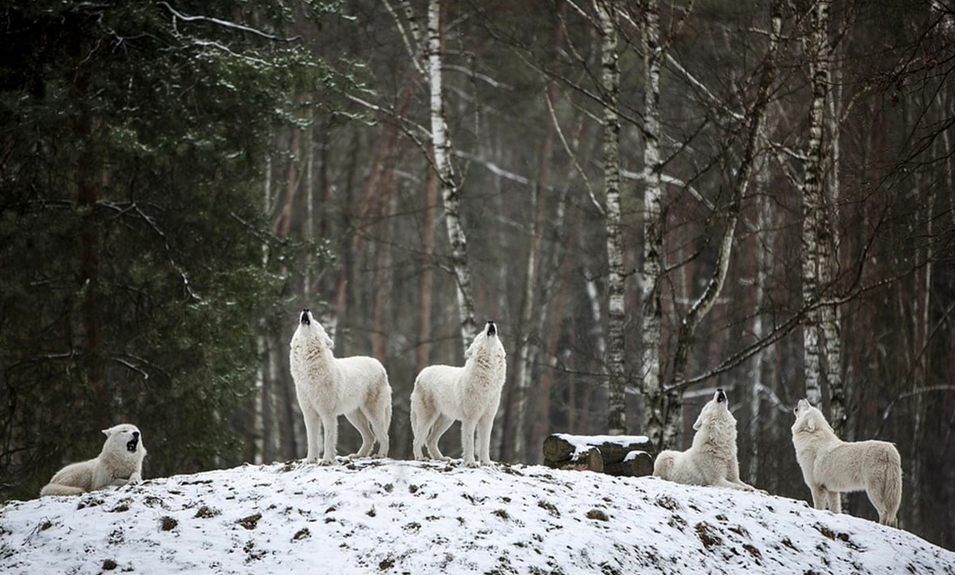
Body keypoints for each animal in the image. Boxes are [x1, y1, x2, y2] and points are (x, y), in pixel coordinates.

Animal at [289, 309, 392, 465]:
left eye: (317, 324)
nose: (306, 309)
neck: (307, 372)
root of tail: (380, 365)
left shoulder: (328, 414)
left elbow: (328, 439)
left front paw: (326, 460)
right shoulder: (309, 414)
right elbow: (312, 441)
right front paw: (311, 460)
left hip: (372, 413)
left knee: (384, 436)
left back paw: (380, 456)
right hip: (353, 416)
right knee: (370, 436)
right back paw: (358, 456)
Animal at [411, 320, 507, 467]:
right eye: (480, 335)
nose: (490, 321)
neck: (488, 380)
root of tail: (421, 374)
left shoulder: (487, 419)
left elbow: (485, 445)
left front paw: (486, 463)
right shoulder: (470, 419)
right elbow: (469, 443)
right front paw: (471, 463)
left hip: (446, 421)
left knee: (430, 440)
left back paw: (441, 458)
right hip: (428, 419)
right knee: (417, 440)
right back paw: (420, 458)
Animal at [791, 399, 902, 527]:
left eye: (808, 407)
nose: (804, 399)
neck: (812, 439)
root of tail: (889, 449)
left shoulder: (817, 487)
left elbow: (818, 508)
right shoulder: (832, 490)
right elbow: (835, 510)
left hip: (872, 491)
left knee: (884, 513)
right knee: (894, 517)